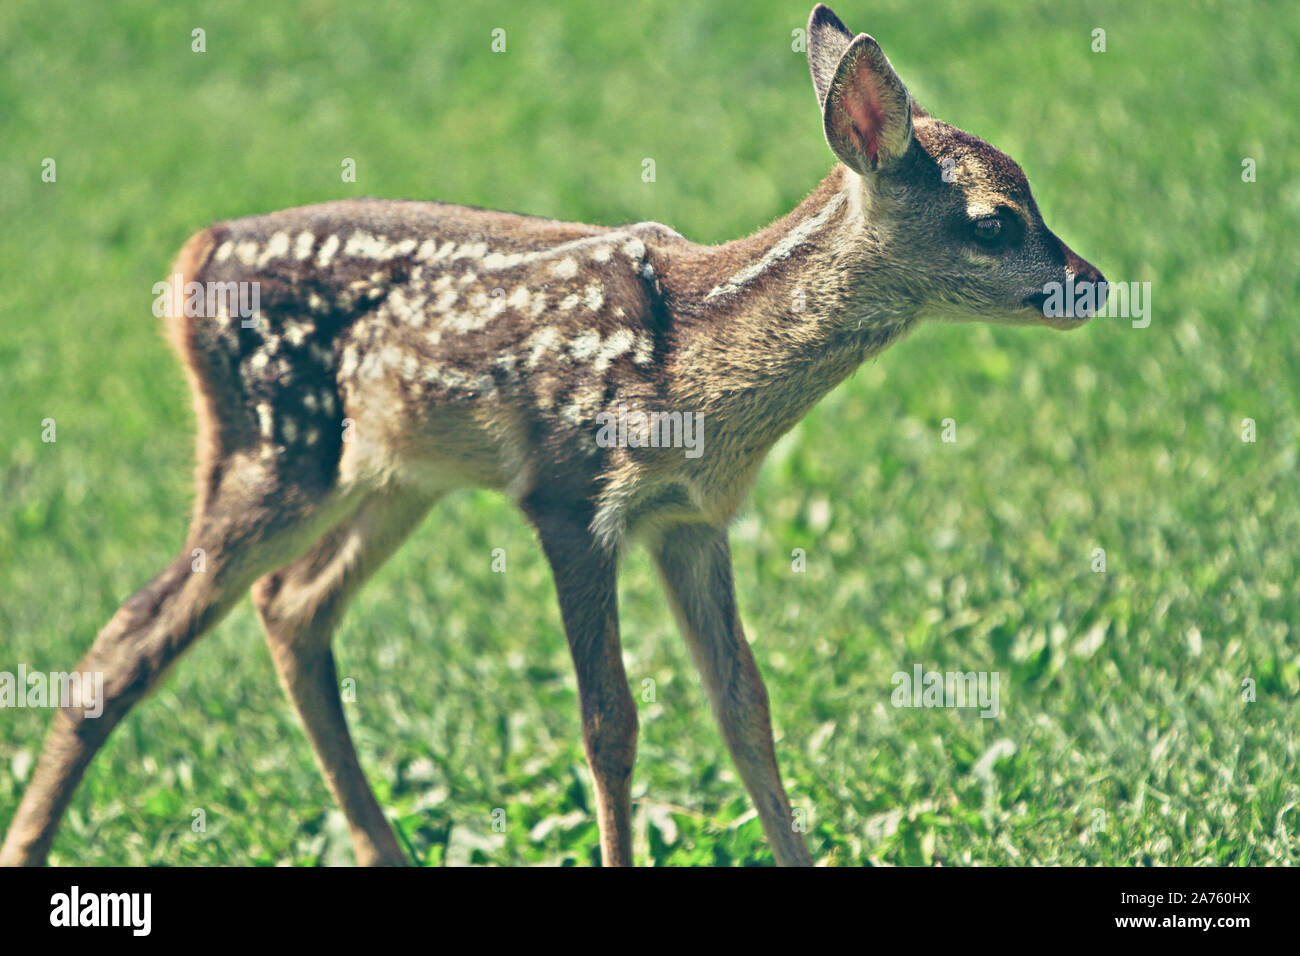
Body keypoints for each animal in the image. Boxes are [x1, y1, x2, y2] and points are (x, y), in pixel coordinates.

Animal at [1, 4, 1105, 867]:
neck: (700, 366)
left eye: (1033, 193)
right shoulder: (569, 494)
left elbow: (744, 707)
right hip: (276, 446)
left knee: (292, 606)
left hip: (398, 474)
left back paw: (383, 847)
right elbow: (608, 721)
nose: (1092, 282)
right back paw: (30, 845)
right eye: (996, 220)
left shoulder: (689, 519)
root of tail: (192, 254)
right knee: (127, 638)